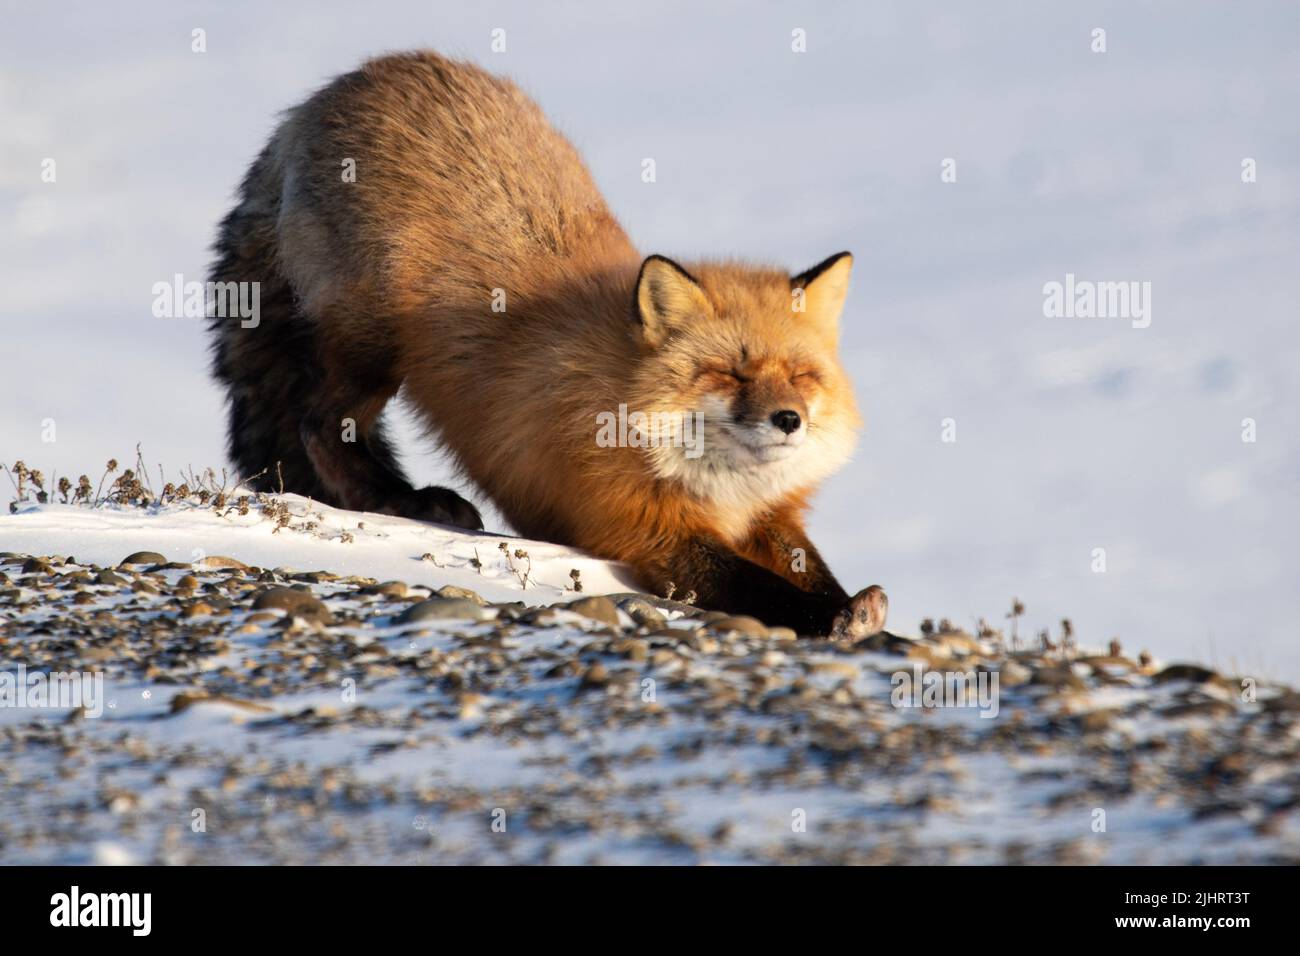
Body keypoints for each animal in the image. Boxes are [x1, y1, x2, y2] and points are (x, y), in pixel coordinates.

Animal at [208, 51, 886, 639]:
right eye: (731, 373)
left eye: (801, 376)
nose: (789, 420)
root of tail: (336, 90)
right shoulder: (640, 528)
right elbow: (753, 585)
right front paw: (831, 619)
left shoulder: (767, 514)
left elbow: (807, 564)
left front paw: (850, 604)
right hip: (371, 350)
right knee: (320, 428)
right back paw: (401, 500)